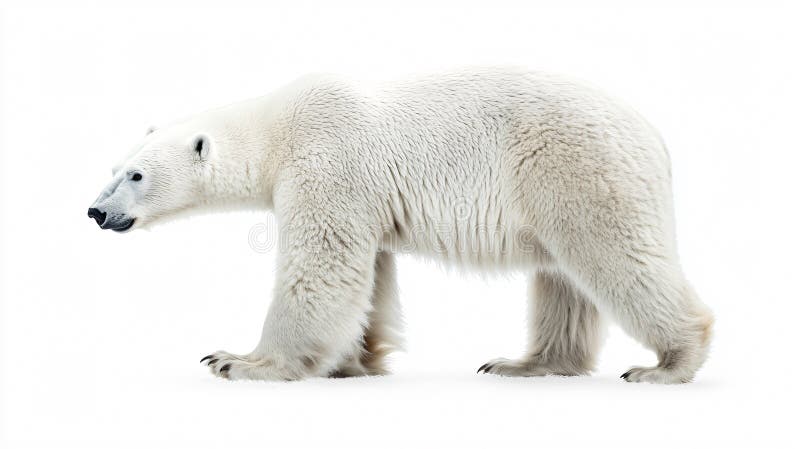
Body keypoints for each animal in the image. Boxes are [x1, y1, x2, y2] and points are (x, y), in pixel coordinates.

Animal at [88, 67, 714, 384]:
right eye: (114, 167)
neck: (278, 127)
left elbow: (321, 268)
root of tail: (654, 134)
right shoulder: (366, 198)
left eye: (137, 175)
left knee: (615, 257)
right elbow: (372, 276)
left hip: (575, 168)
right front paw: (354, 362)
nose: (96, 211)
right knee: (562, 279)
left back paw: (667, 365)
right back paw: (525, 363)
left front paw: (240, 360)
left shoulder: (327, 163)